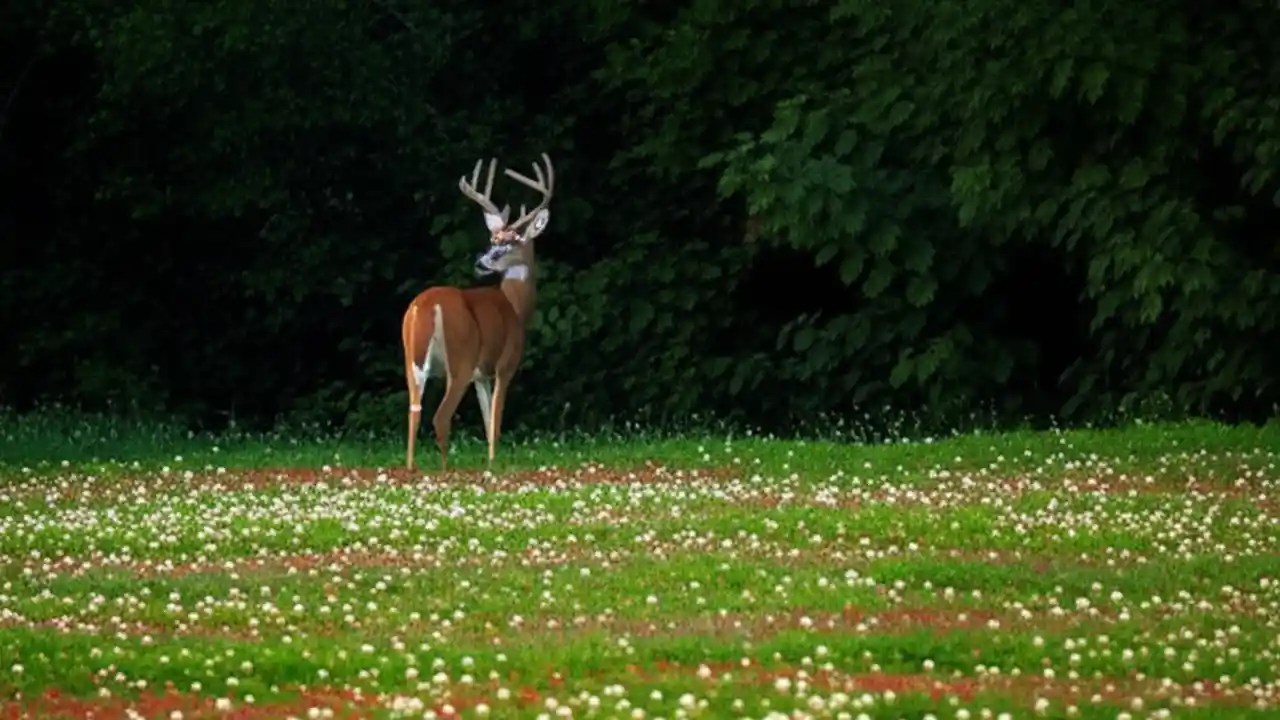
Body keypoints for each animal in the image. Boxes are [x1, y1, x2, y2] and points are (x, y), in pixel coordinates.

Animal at [400, 153, 554, 472]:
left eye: (511, 241)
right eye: (494, 240)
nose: (481, 261)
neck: (514, 306)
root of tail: (424, 307)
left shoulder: (481, 374)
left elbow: (485, 419)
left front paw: (490, 461)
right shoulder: (504, 364)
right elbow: (495, 420)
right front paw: (493, 463)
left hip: (413, 359)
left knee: (414, 411)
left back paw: (410, 467)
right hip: (461, 356)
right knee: (440, 416)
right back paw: (445, 470)